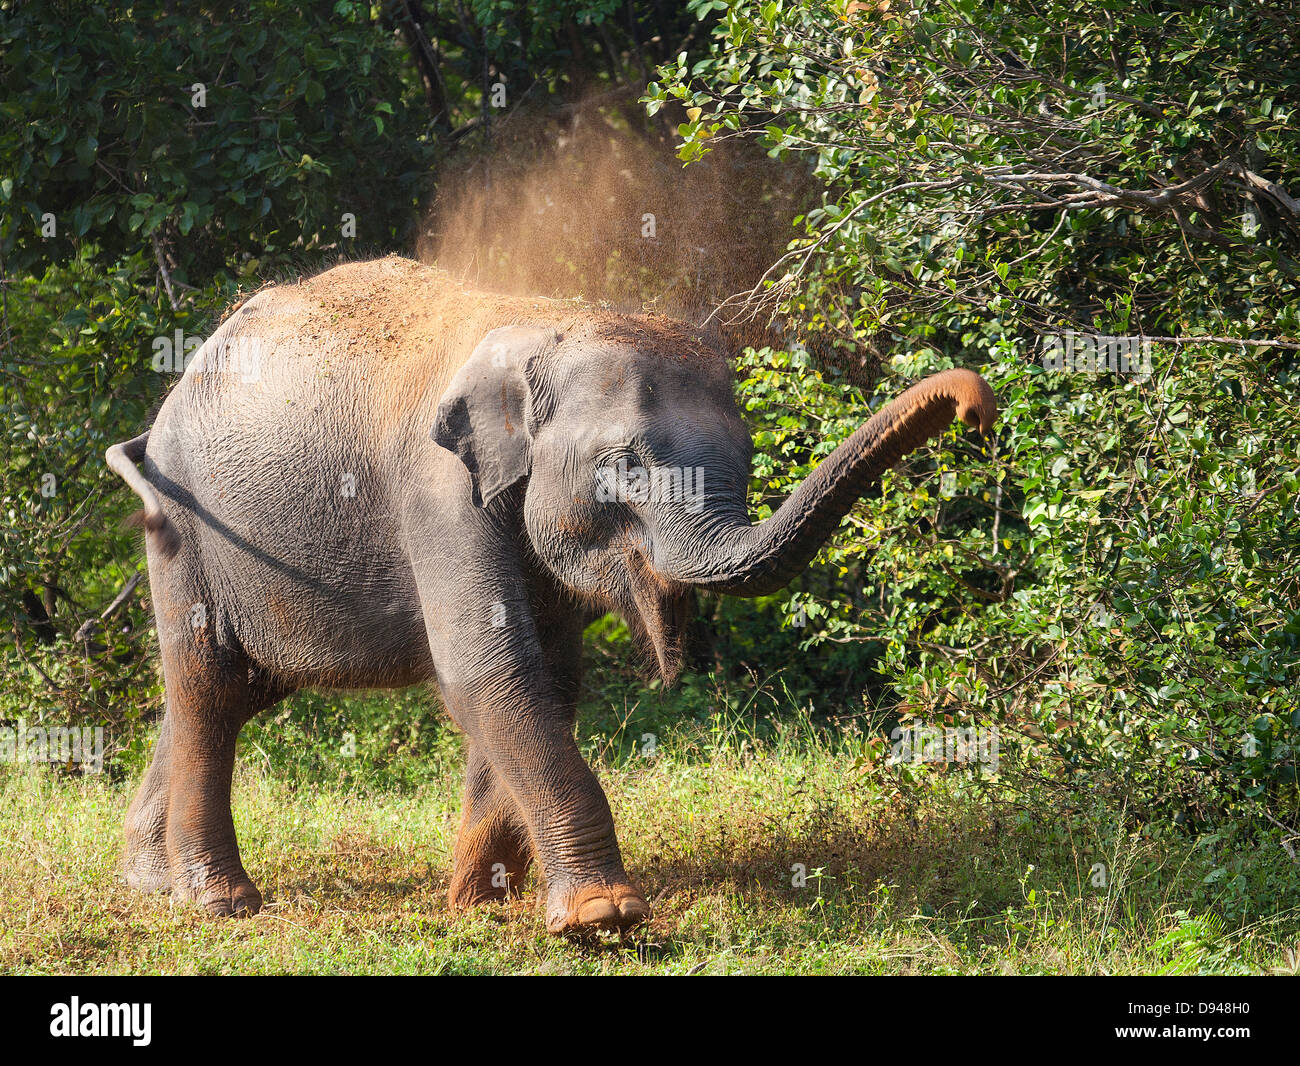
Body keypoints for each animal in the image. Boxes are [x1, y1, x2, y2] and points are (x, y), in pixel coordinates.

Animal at [105, 256, 996, 937]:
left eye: (744, 456)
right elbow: (488, 669)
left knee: (239, 691)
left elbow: (551, 680)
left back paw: (149, 882)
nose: (975, 405)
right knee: (209, 684)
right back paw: (219, 903)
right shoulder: (435, 492)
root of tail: (166, 405)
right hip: (184, 527)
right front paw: (603, 917)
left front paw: (478, 904)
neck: (543, 323)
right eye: (625, 466)